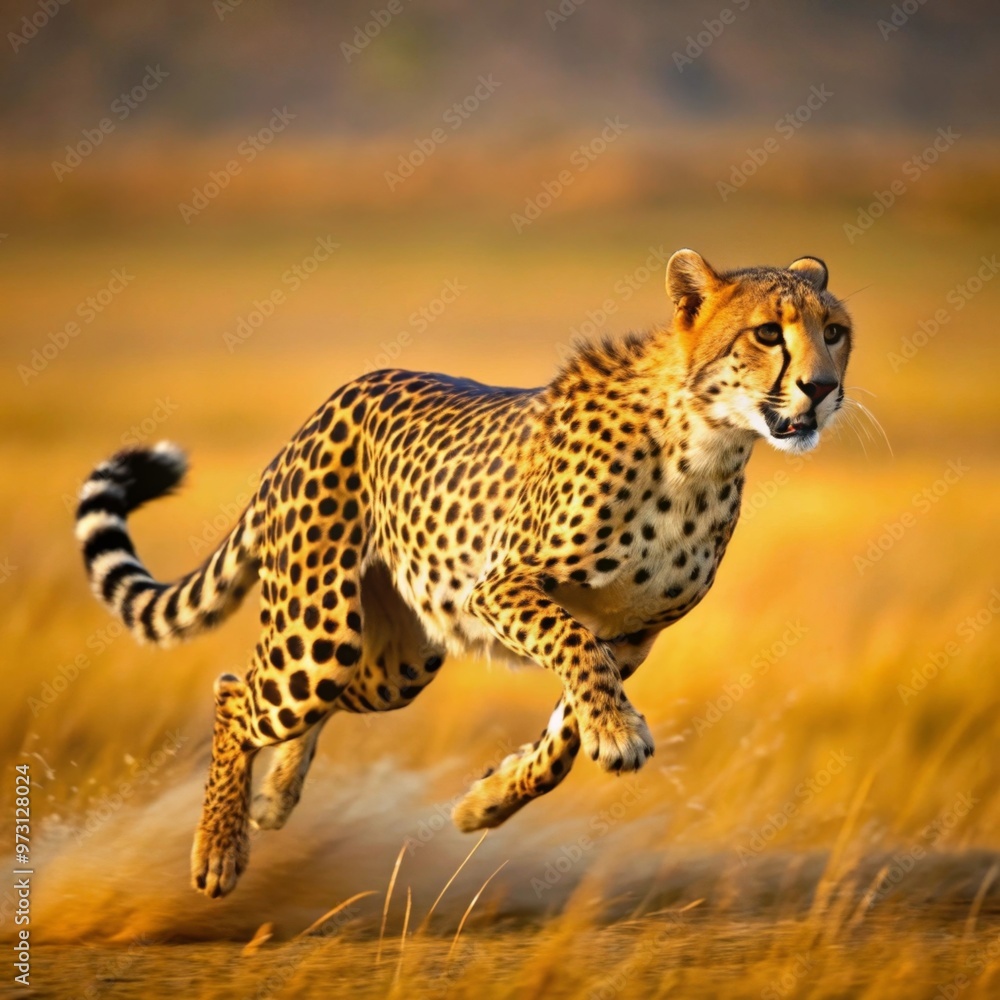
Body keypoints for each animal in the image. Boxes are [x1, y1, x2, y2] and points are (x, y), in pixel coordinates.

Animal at [74, 249, 853, 898]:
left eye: (836, 331)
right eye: (767, 333)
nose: (820, 388)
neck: (706, 444)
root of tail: (333, 400)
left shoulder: (632, 634)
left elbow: (564, 736)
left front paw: (491, 799)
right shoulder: (503, 587)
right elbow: (575, 649)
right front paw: (615, 732)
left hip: (394, 665)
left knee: (311, 704)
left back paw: (276, 796)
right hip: (319, 636)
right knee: (236, 693)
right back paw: (217, 850)